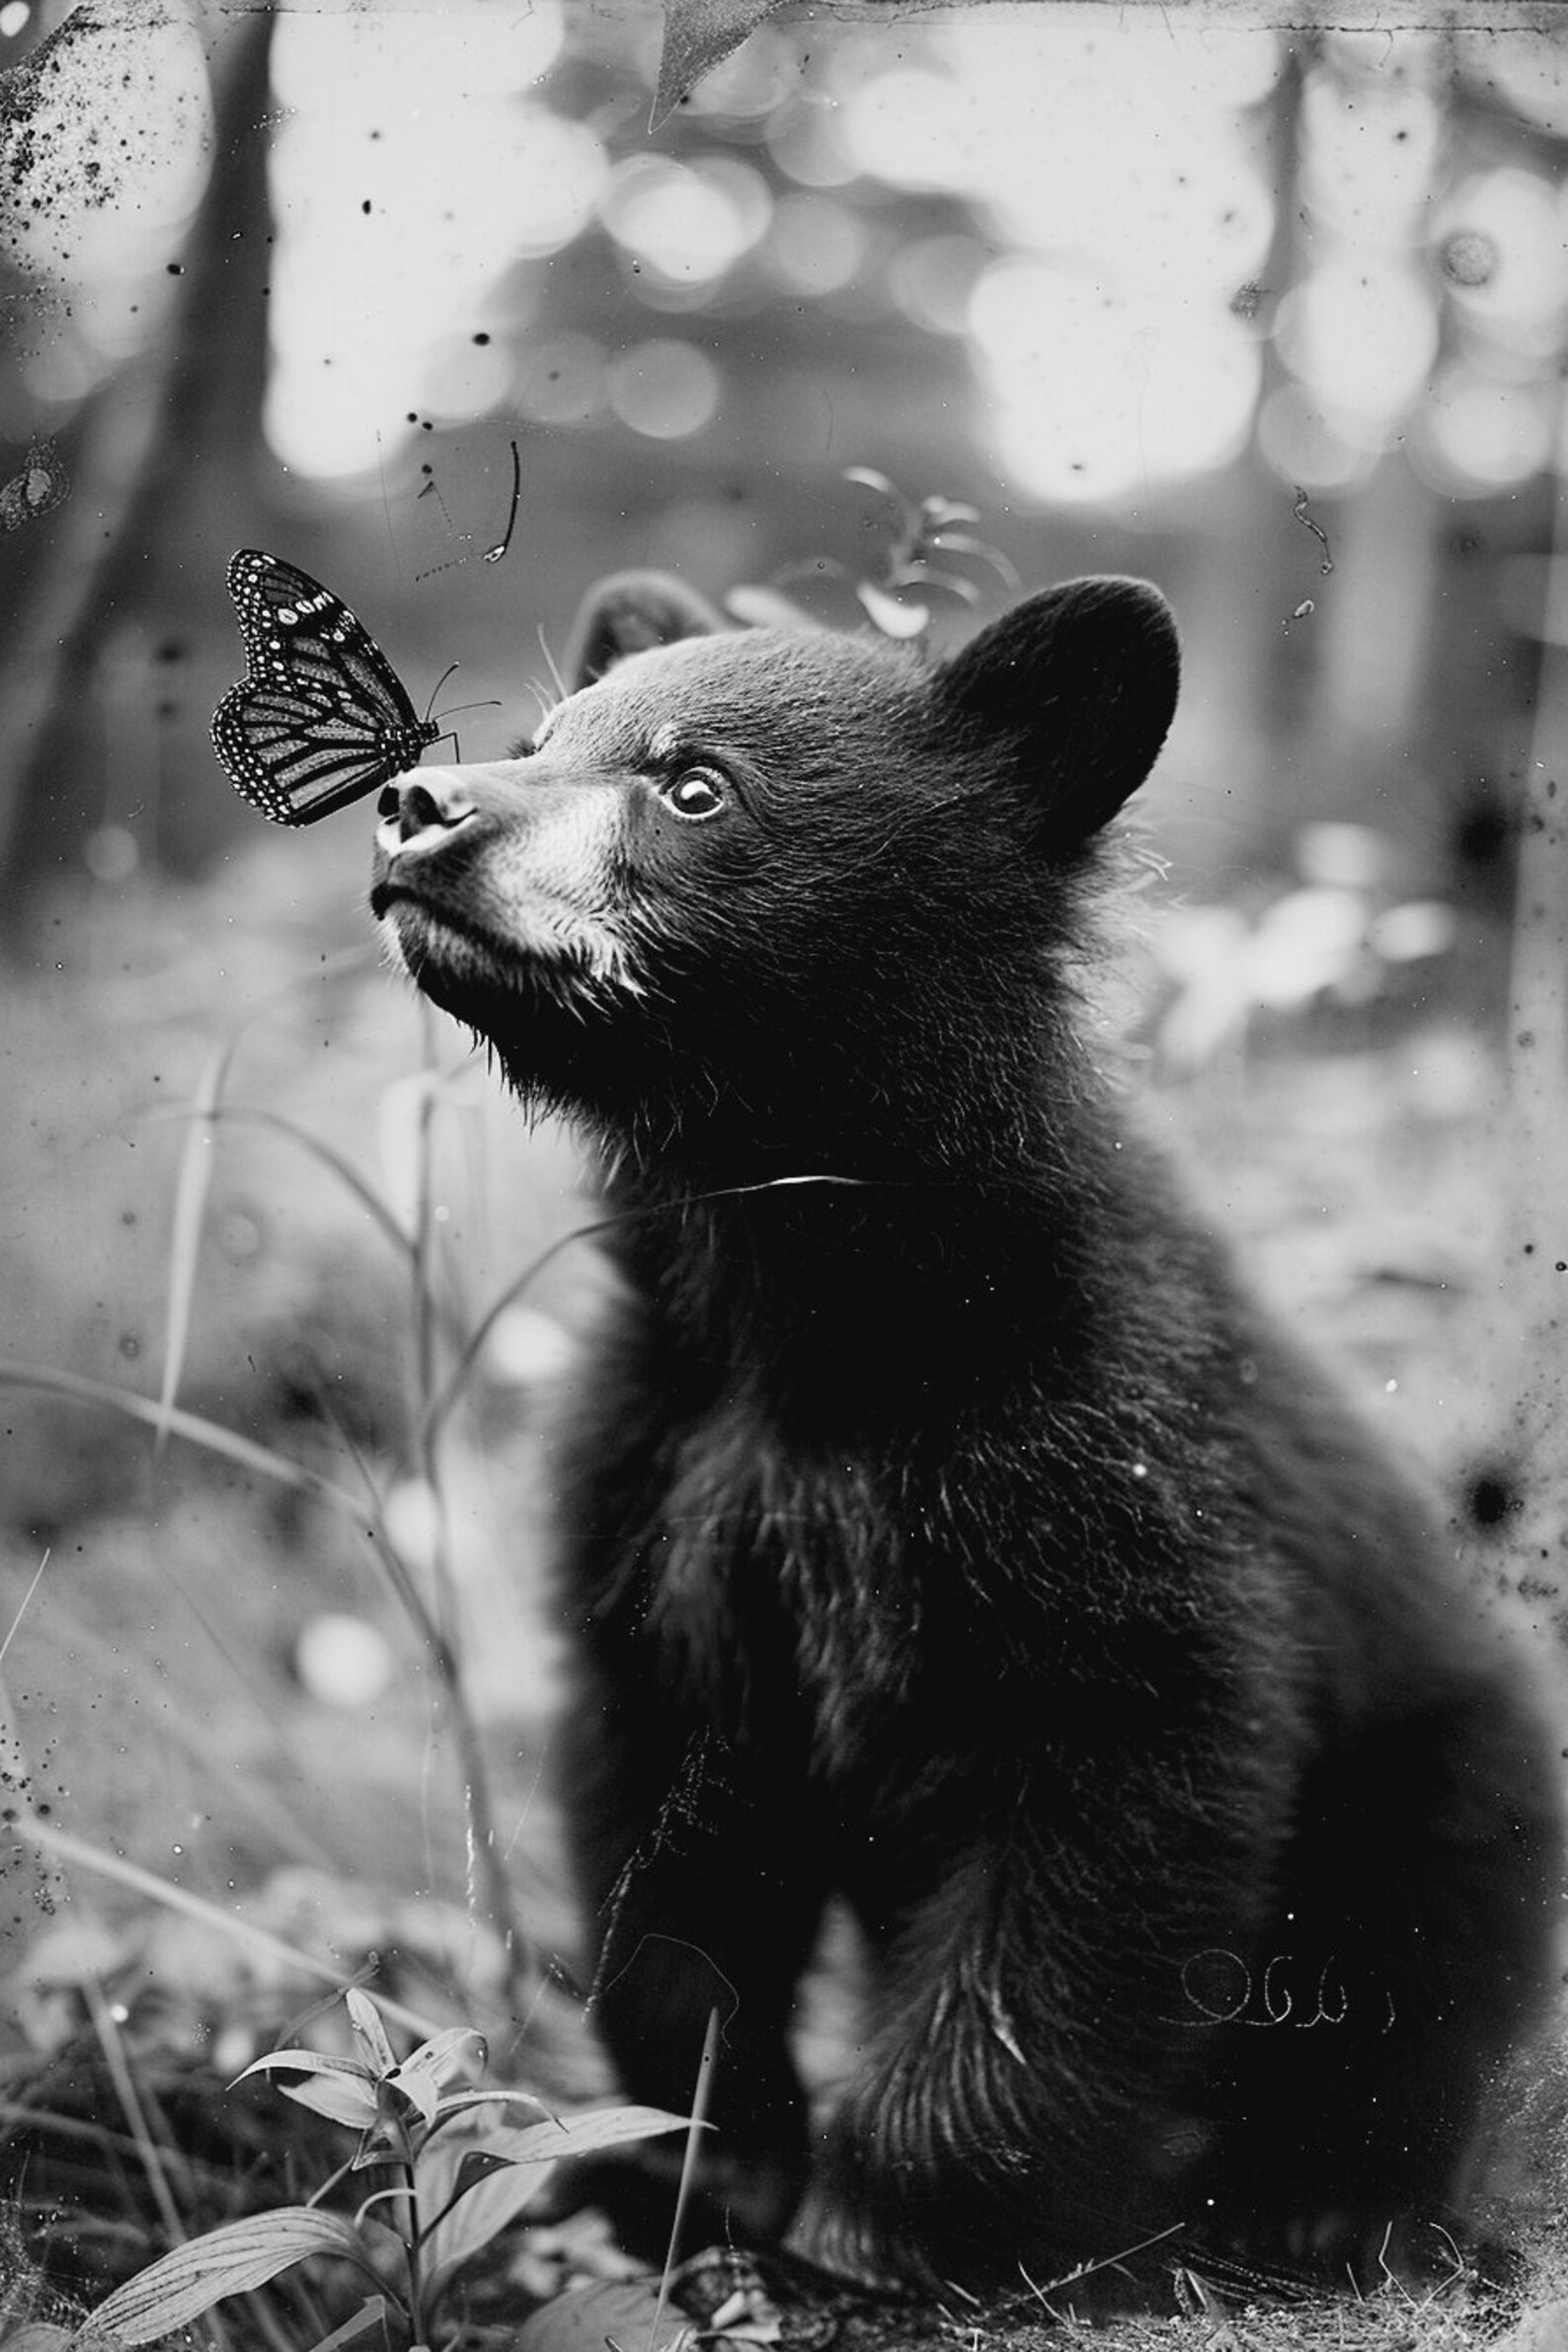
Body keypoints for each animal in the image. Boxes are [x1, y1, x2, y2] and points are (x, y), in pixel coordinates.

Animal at [369, 569, 1564, 2303]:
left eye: (693, 785)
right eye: (538, 739)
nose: (419, 806)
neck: (809, 1303)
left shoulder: (1107, 1460)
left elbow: (1114, 1801)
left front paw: (891, 2216)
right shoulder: (654, 1469)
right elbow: (665, 1830)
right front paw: (698, 2163)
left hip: (1453, 1769)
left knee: (1418, 1980)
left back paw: (1328, 2200)